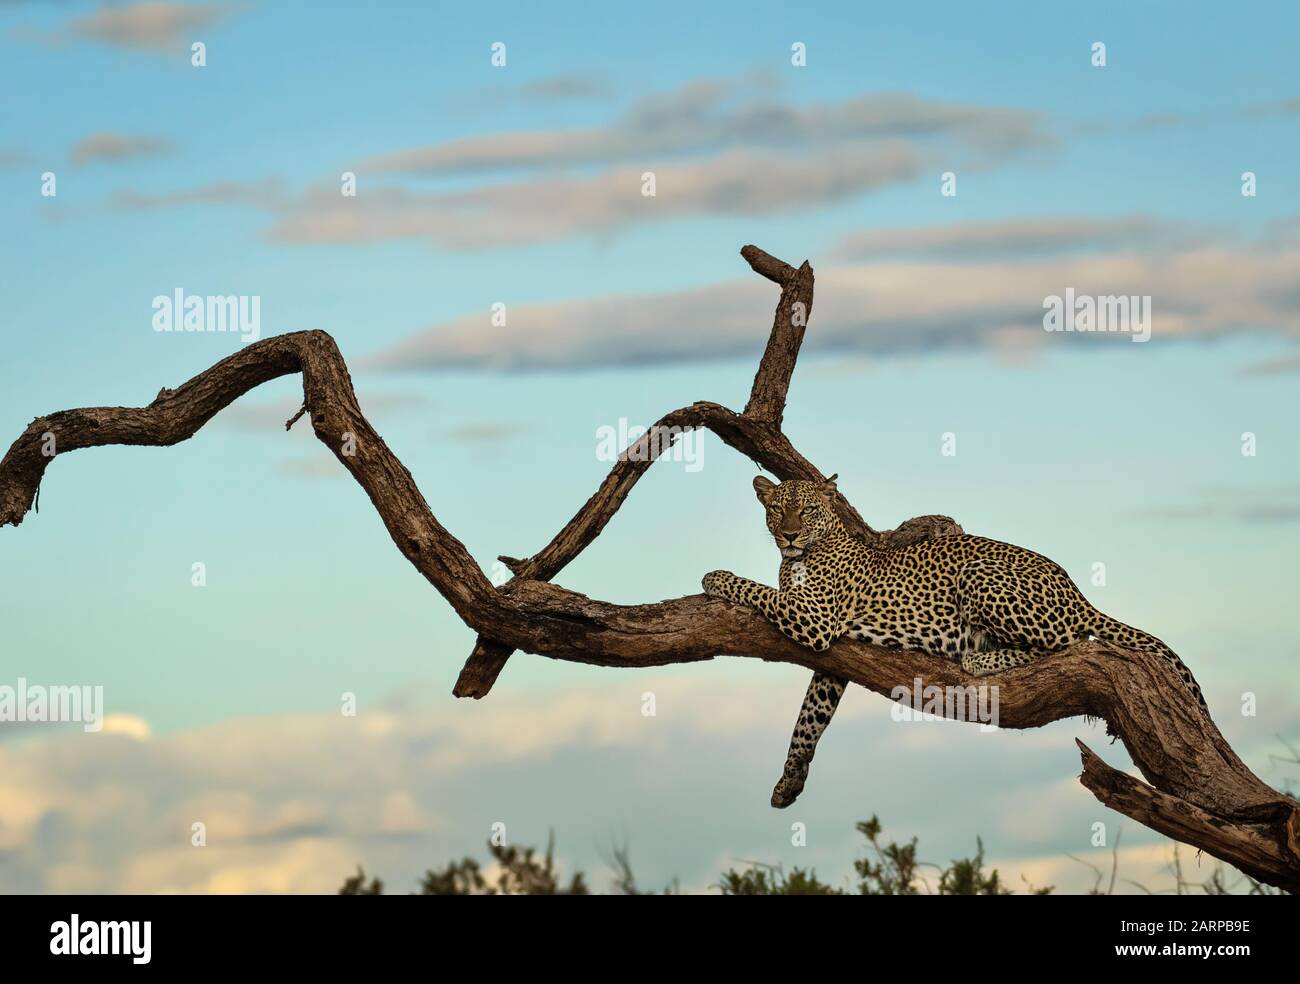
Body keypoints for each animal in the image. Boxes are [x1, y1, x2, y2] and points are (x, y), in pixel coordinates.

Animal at [701, 474, 1206, 809]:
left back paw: (980, 658)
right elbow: (809, 720)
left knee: (1067, 643)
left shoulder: (816, 617)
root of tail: (1078, 592)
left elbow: (756, 589)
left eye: (805, 510)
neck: (801, 556)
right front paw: (790, 780)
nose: (788, 533)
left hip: (981, 574)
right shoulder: (832, 659)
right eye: (776, 509)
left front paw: (715, 576)